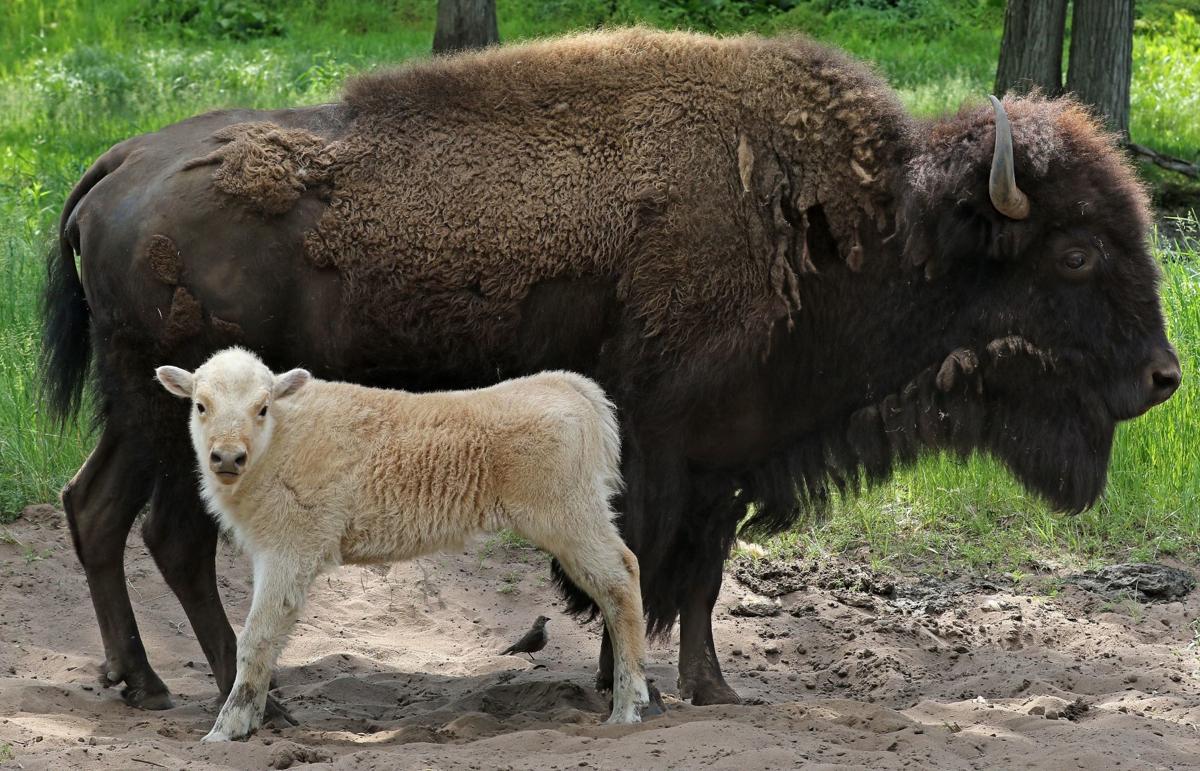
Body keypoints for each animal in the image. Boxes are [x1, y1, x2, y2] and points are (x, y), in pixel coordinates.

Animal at [44, 29, 1179, 713]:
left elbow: (696, 577)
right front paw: (636, 685)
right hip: (187, 424)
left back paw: (145, 681)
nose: (1166, 378)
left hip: (140, 409)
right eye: (1079, 251)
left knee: (95, 510)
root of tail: (119, 163)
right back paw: (246, 691)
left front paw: (708, 690)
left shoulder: (730, 459)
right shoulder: (672, 450)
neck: (859, 227)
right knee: (170, 535)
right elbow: (643, 566)